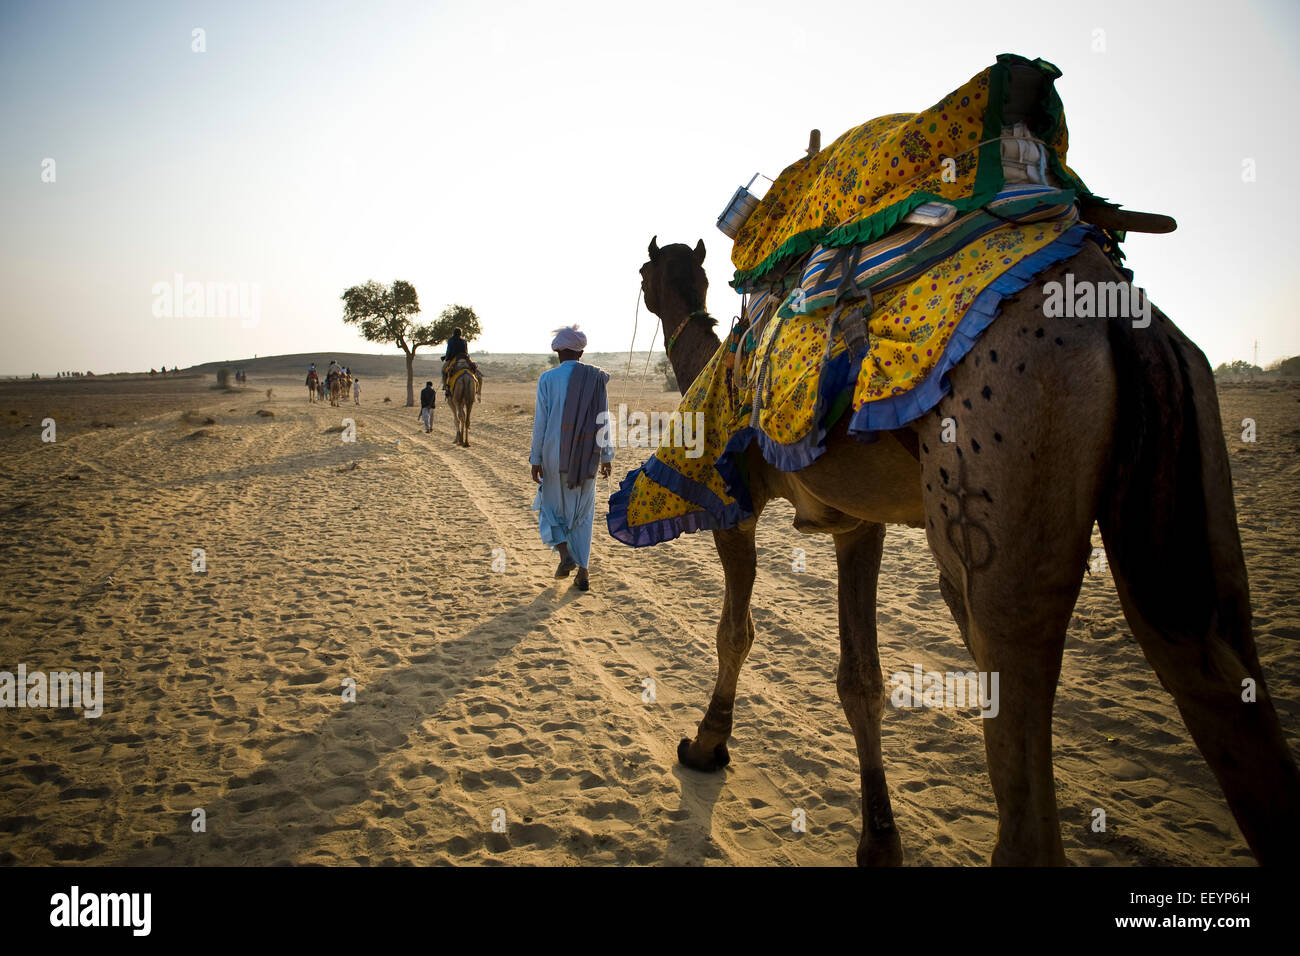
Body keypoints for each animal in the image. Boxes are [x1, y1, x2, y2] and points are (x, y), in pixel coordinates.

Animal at [639, 236, 1300, 866]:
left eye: (645, 274)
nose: (642, 288)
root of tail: (1117, 316)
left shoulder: (738, 508)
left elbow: (735, 632)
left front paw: (707, 744)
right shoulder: (858, 524)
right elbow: (861, 678)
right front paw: (880, 841)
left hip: (996, 481)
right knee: (1218, 675)